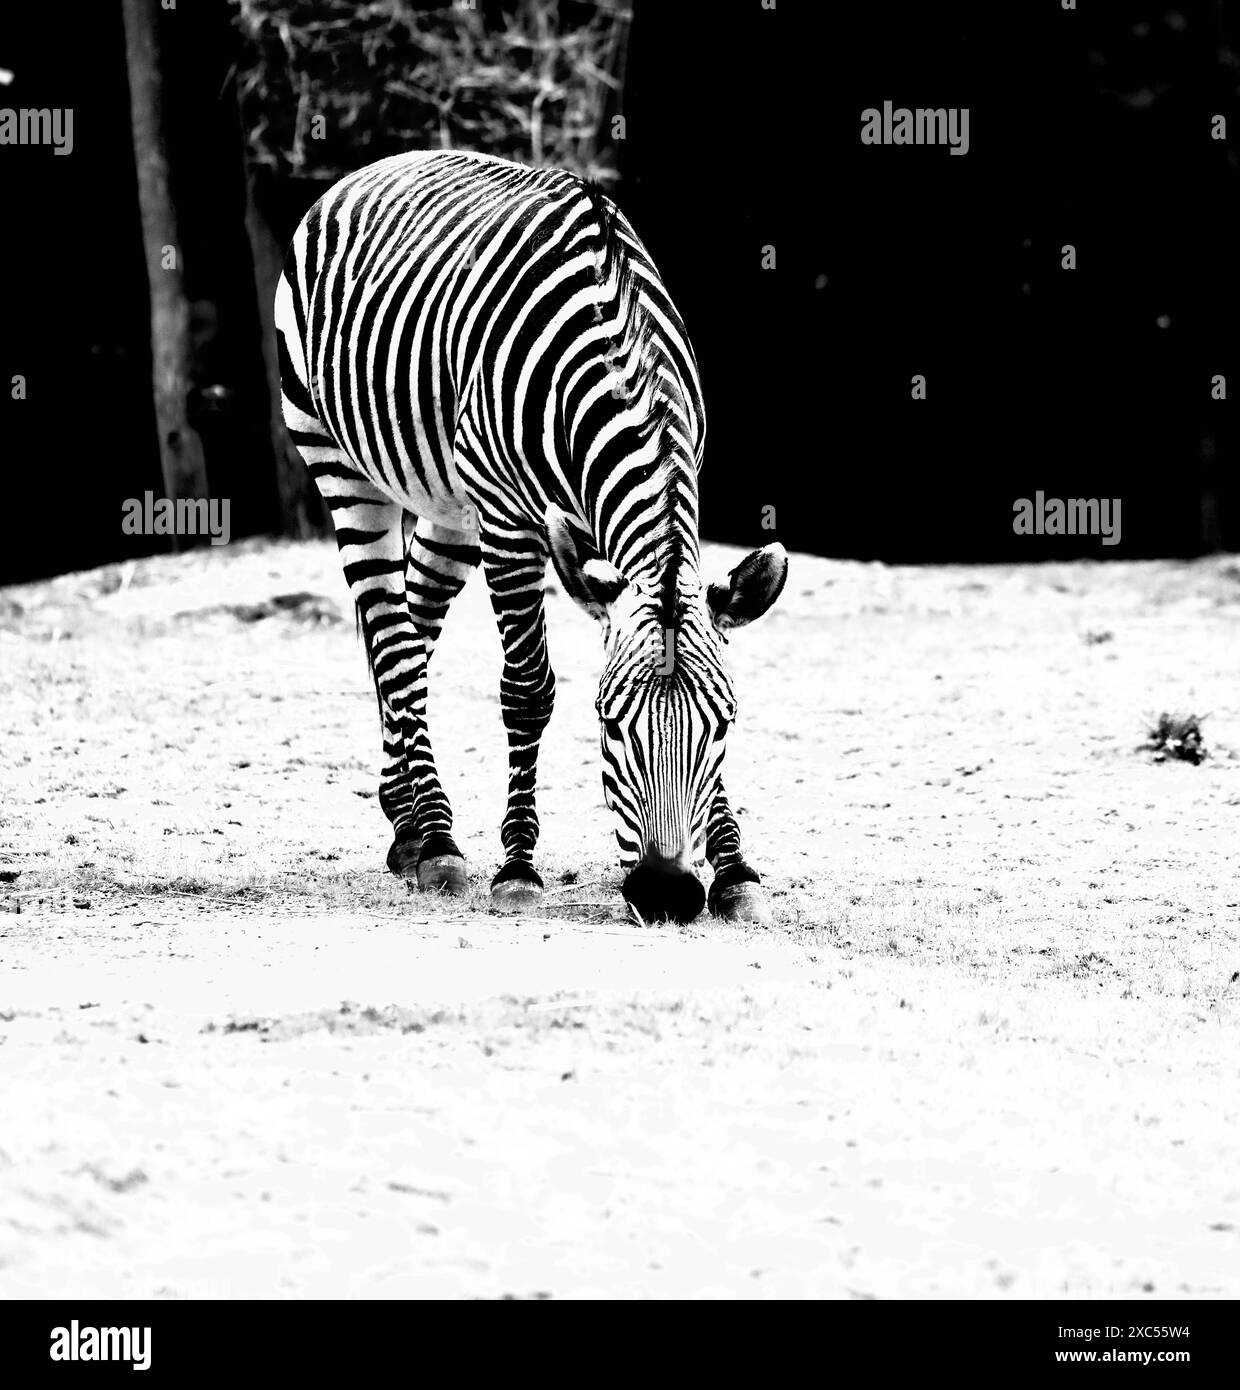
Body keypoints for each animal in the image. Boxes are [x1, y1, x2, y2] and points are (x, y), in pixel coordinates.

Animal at [275, 149, 787, 924]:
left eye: (722, 727)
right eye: (608, 723)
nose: (667, 897)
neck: (619, 358)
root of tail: (374, 167)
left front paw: (734, 868)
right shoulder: (509, 520)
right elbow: (527, 691)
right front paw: (516, 866)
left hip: (448, 505)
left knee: (412, 629)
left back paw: (407, 821)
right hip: (339, 461)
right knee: (392, 643)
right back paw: (438, 843)